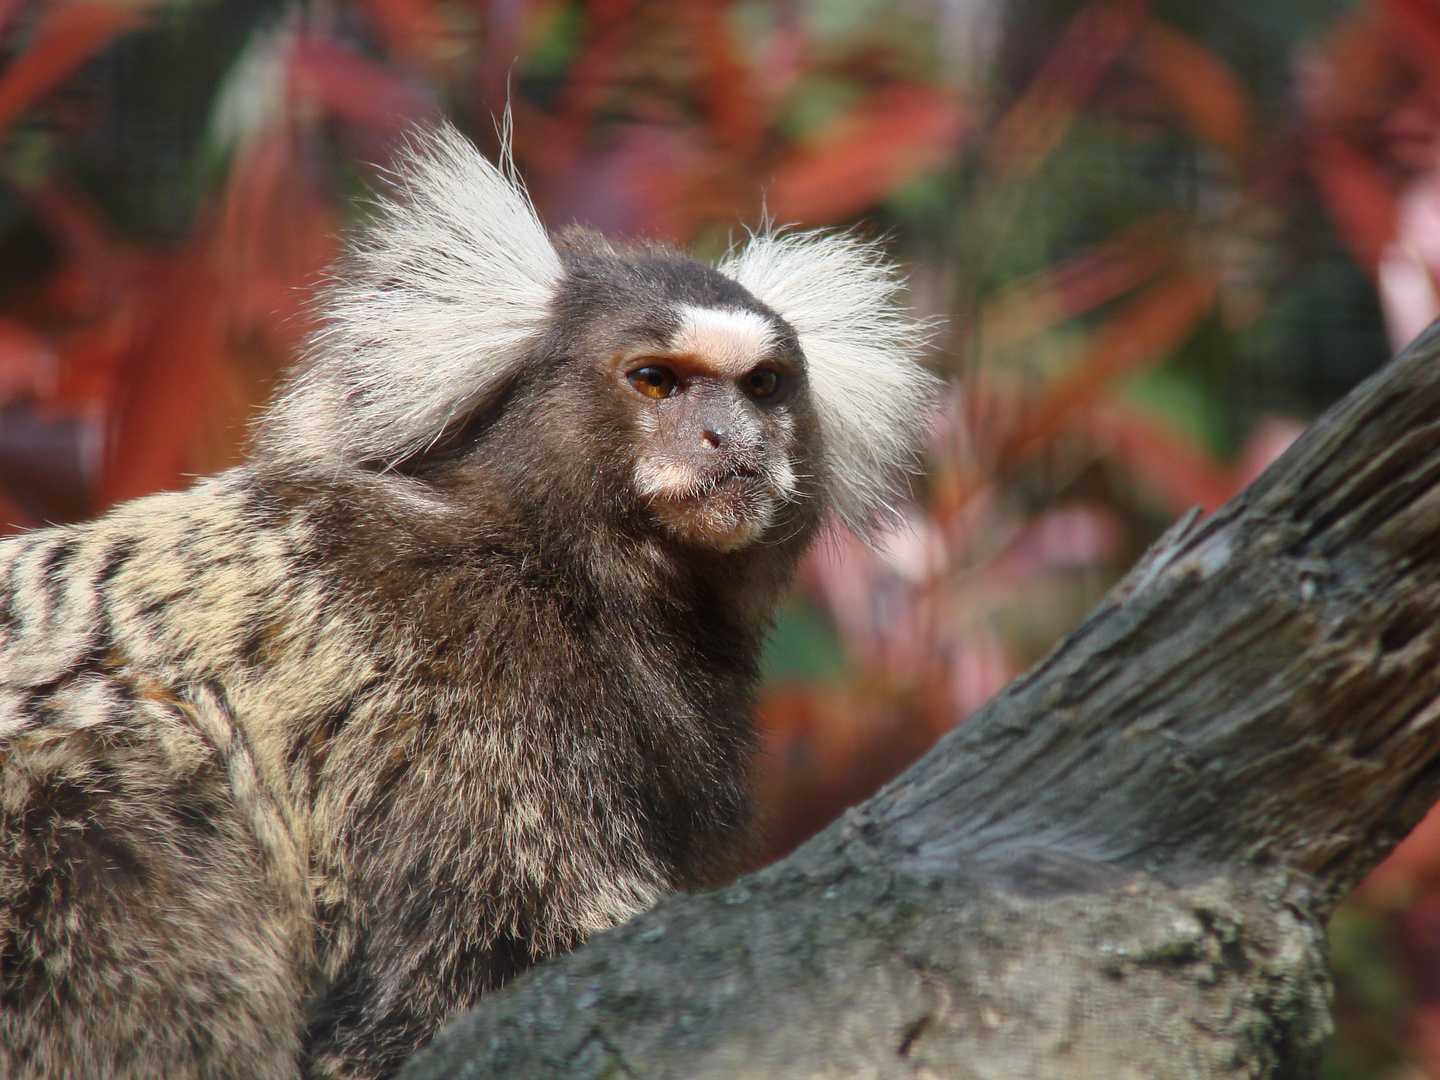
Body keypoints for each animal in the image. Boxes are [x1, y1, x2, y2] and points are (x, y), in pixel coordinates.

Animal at [0, 124, 936, 1080]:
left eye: (762, 387)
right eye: (656, 381)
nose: (733, 441)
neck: (562, 568)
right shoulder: (452, 685)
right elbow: (472, 960)